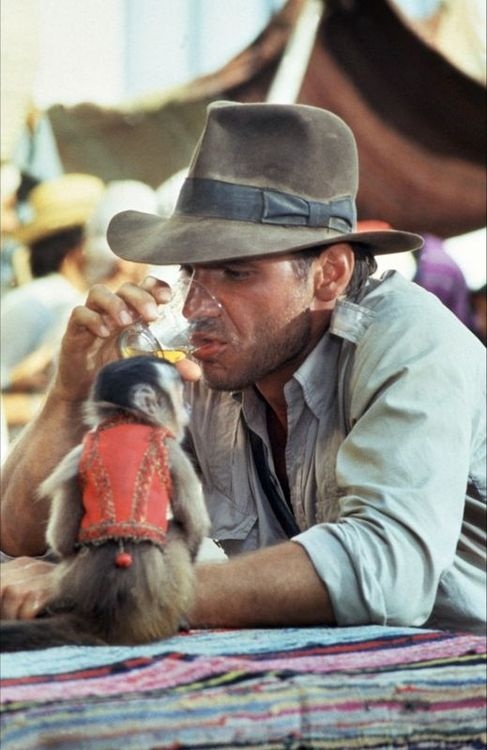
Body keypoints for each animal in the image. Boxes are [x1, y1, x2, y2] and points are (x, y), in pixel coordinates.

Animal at [0, 356, 210, 651]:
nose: (188, 407)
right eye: (180, 395)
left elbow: (62, 540)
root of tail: (106, 617)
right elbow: (194, 527)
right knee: (176, 533)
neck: (126, 421)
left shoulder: (77, 453)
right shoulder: (172, 452)